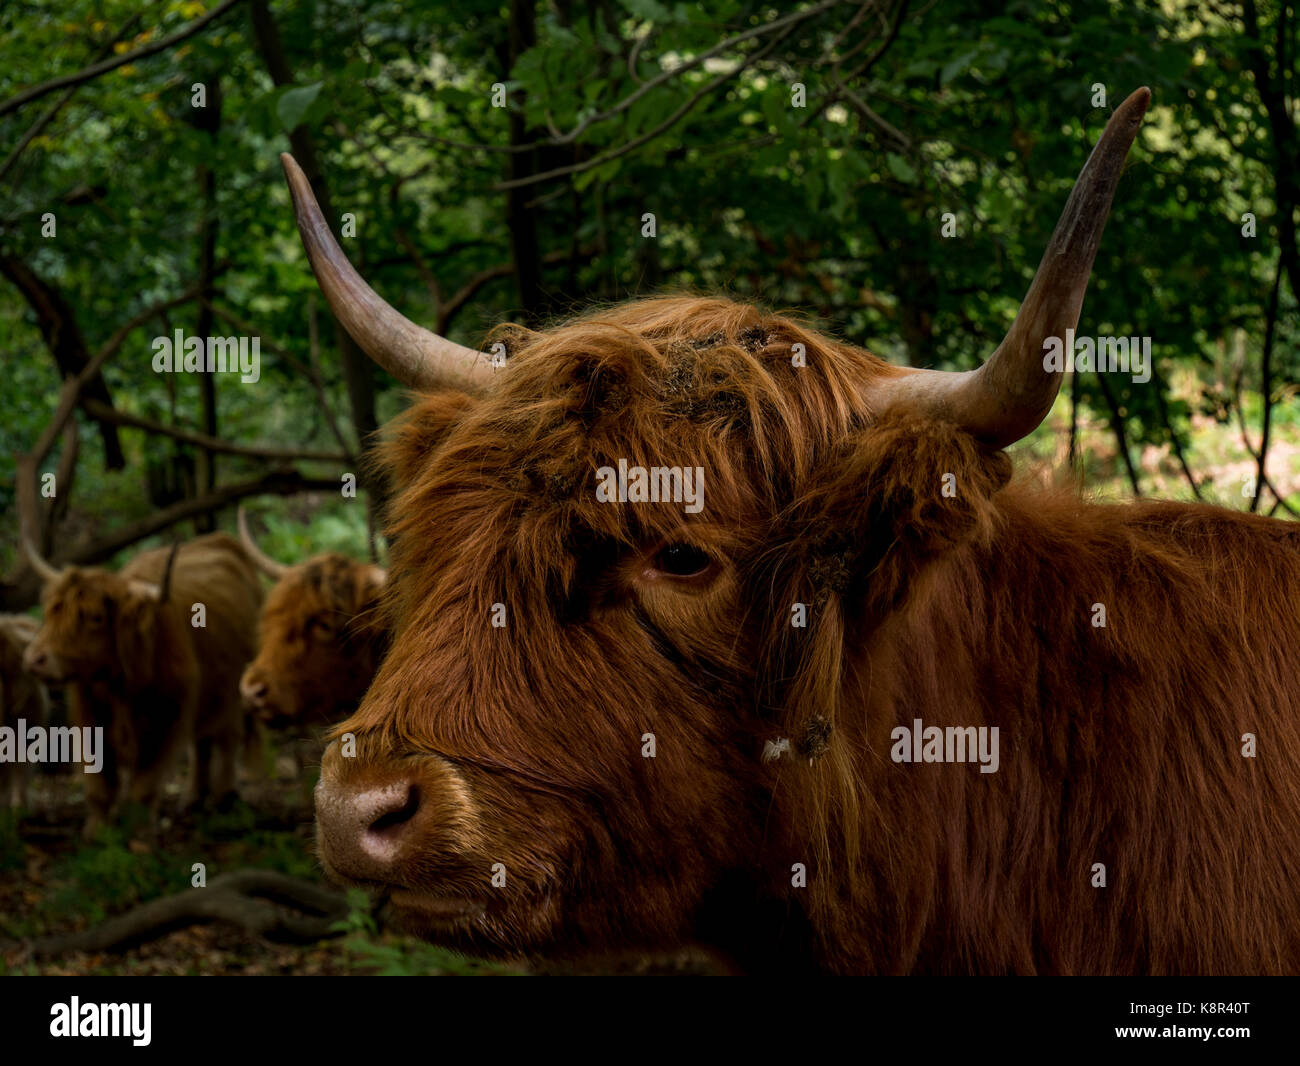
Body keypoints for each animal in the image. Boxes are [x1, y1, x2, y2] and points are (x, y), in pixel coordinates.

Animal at [20, 533, 263, 836]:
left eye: (96, 617)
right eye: (53, 611)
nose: (34, 659)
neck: (121, 686)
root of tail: (221, 540)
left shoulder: (167, 721)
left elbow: (144, 786)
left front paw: (140, 836)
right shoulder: (90, 716)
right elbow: (100, 782)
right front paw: (96, 832)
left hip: (231, 695)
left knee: (227, 739)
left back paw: (224, 799)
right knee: (202, 744)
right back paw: (193, 799)